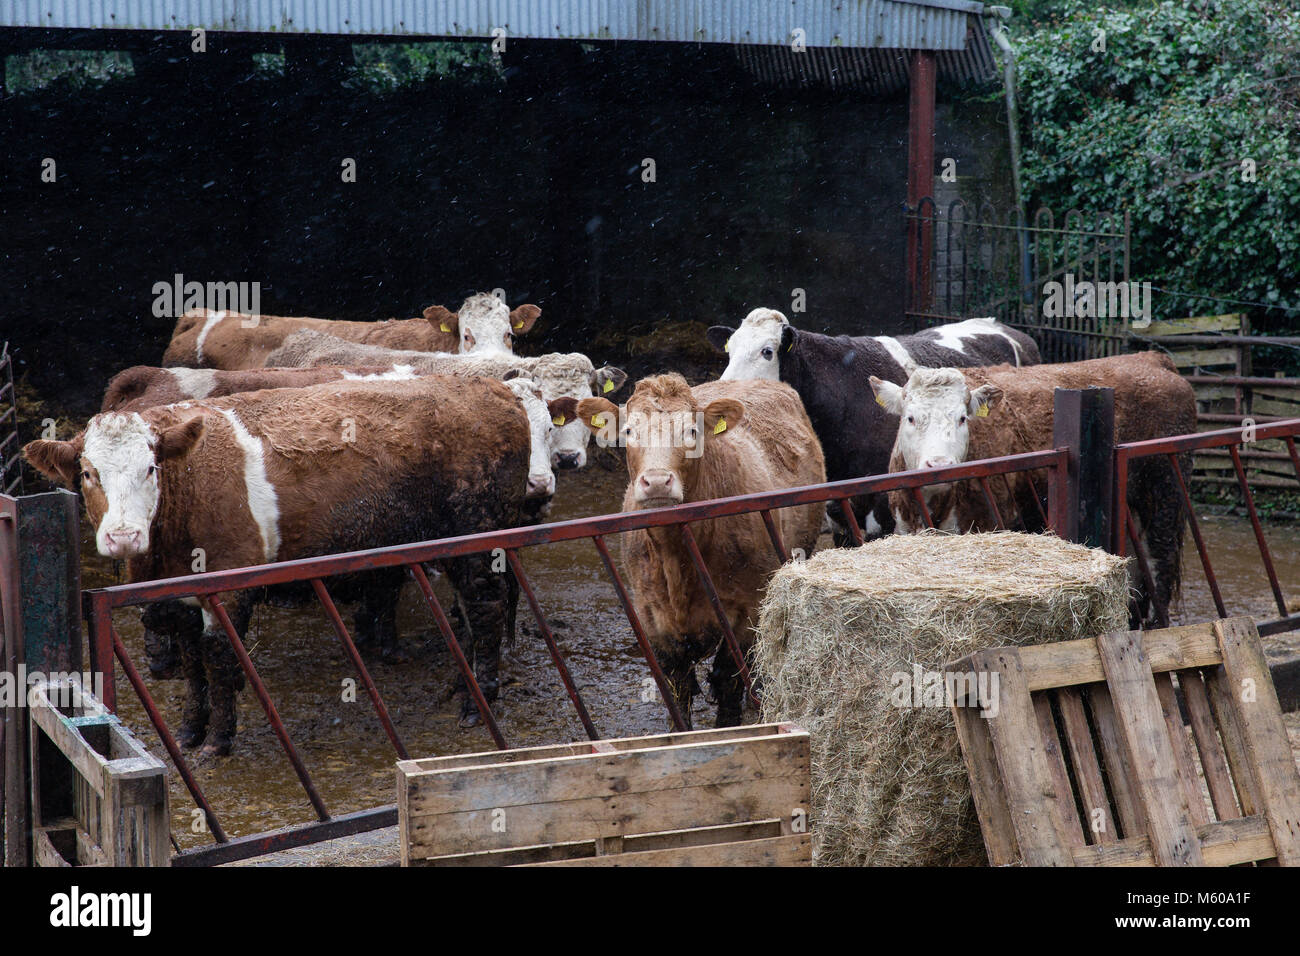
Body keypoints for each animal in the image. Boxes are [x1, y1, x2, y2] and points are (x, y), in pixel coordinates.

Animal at [24, 376, 532, 756]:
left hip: (479, 537)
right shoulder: (179, 595)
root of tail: (494, 389)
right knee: (467, 614)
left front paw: (219, 741)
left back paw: (478, 701)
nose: (124, 535)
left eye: (151, 468)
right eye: (88, 473)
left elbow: (218, 657)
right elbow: (190, 659)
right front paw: (190, 731)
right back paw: (460, 688)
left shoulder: (229, 584)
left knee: (485, 609)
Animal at [577, 374, 825, 727]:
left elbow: (728, 677)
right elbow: (677, 684)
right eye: (628, 431)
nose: (656, 482)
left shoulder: (748, 609)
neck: (677, 558)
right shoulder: (651, 615)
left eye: (692, 431)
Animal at [869, 351, 1196, 626]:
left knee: (1159, 574)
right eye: (910, 418)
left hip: (1165, 500)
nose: (939, 465)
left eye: (962, 418)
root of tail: (1151, 359)